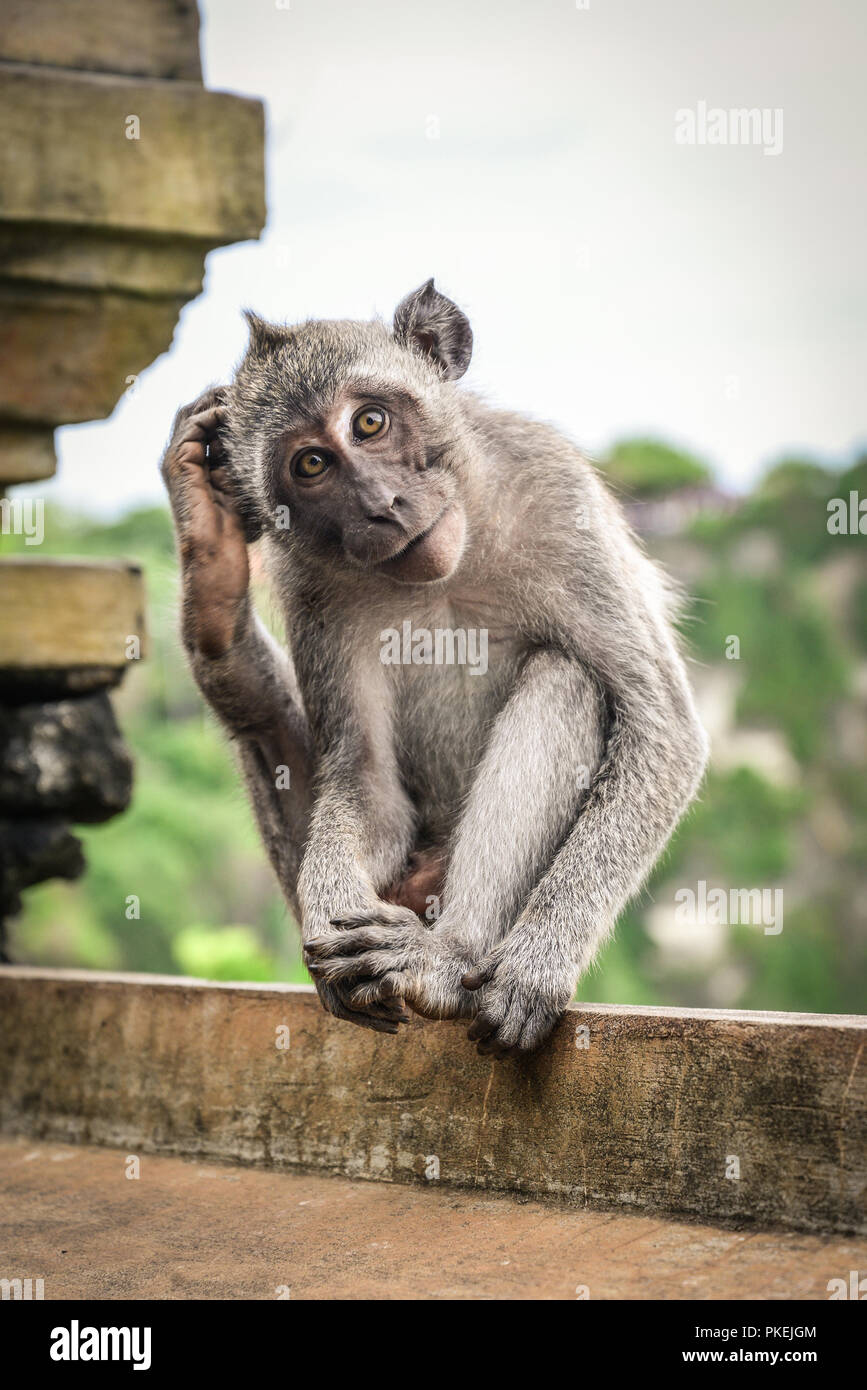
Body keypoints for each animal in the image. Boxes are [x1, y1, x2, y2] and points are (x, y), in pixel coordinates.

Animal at [160, 279, 708, 1057]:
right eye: (310, 464)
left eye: (369, 422)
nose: (382, 506)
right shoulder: (313, 588)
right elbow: (362, 772)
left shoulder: (557, 494)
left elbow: (661, 727)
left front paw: (536, 966)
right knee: (258, 720)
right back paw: (214, 600)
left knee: (566, 678)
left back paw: (446, 960)